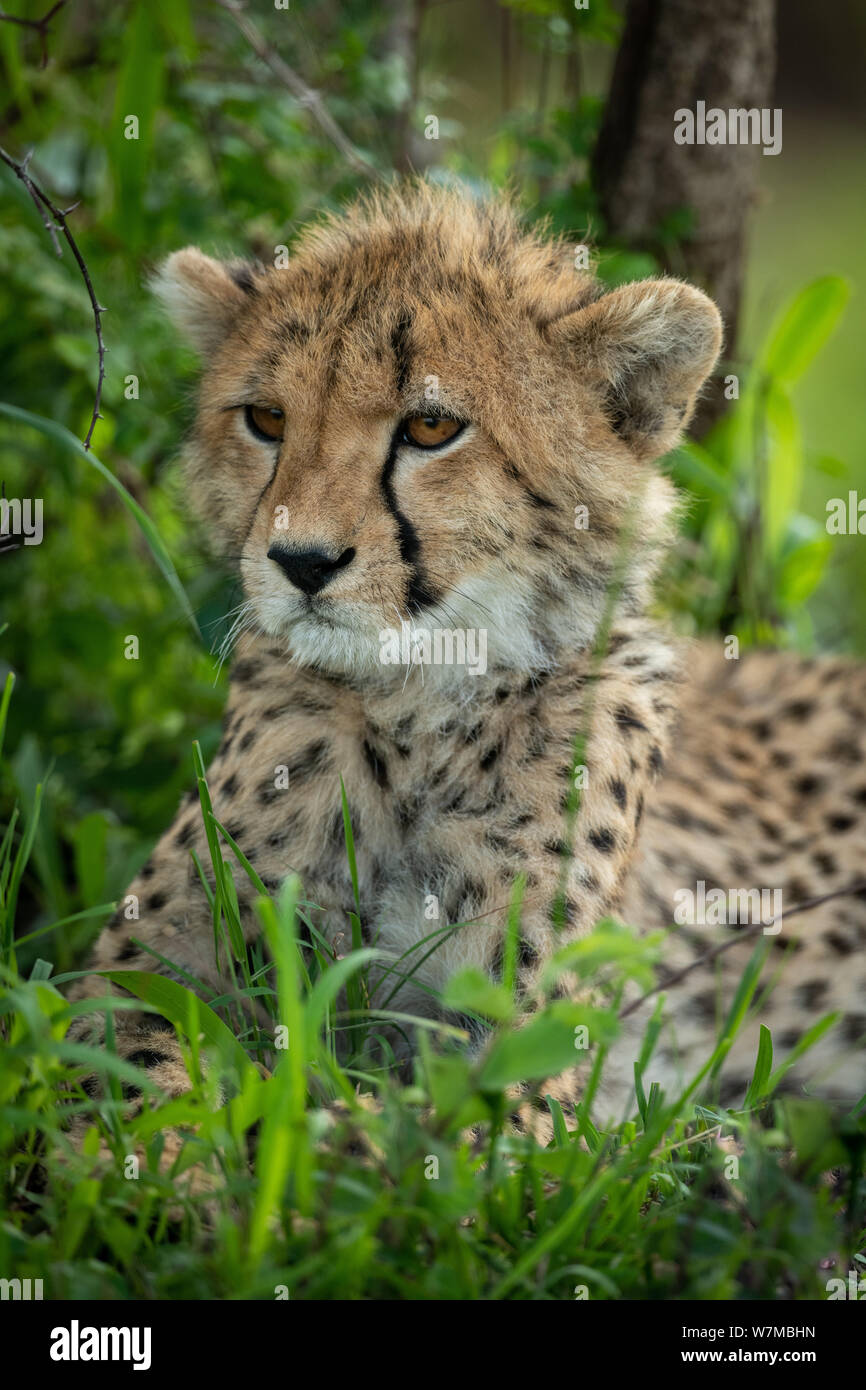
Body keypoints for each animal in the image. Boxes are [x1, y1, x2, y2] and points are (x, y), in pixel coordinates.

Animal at [67, 182, 866, 1159]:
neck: (418, 707)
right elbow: (125, 1063)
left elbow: (389, 1134)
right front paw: (156, 1166)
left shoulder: (532, 1062)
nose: (300, 561)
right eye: (266, 420)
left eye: (431, 426)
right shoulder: (144, 962)